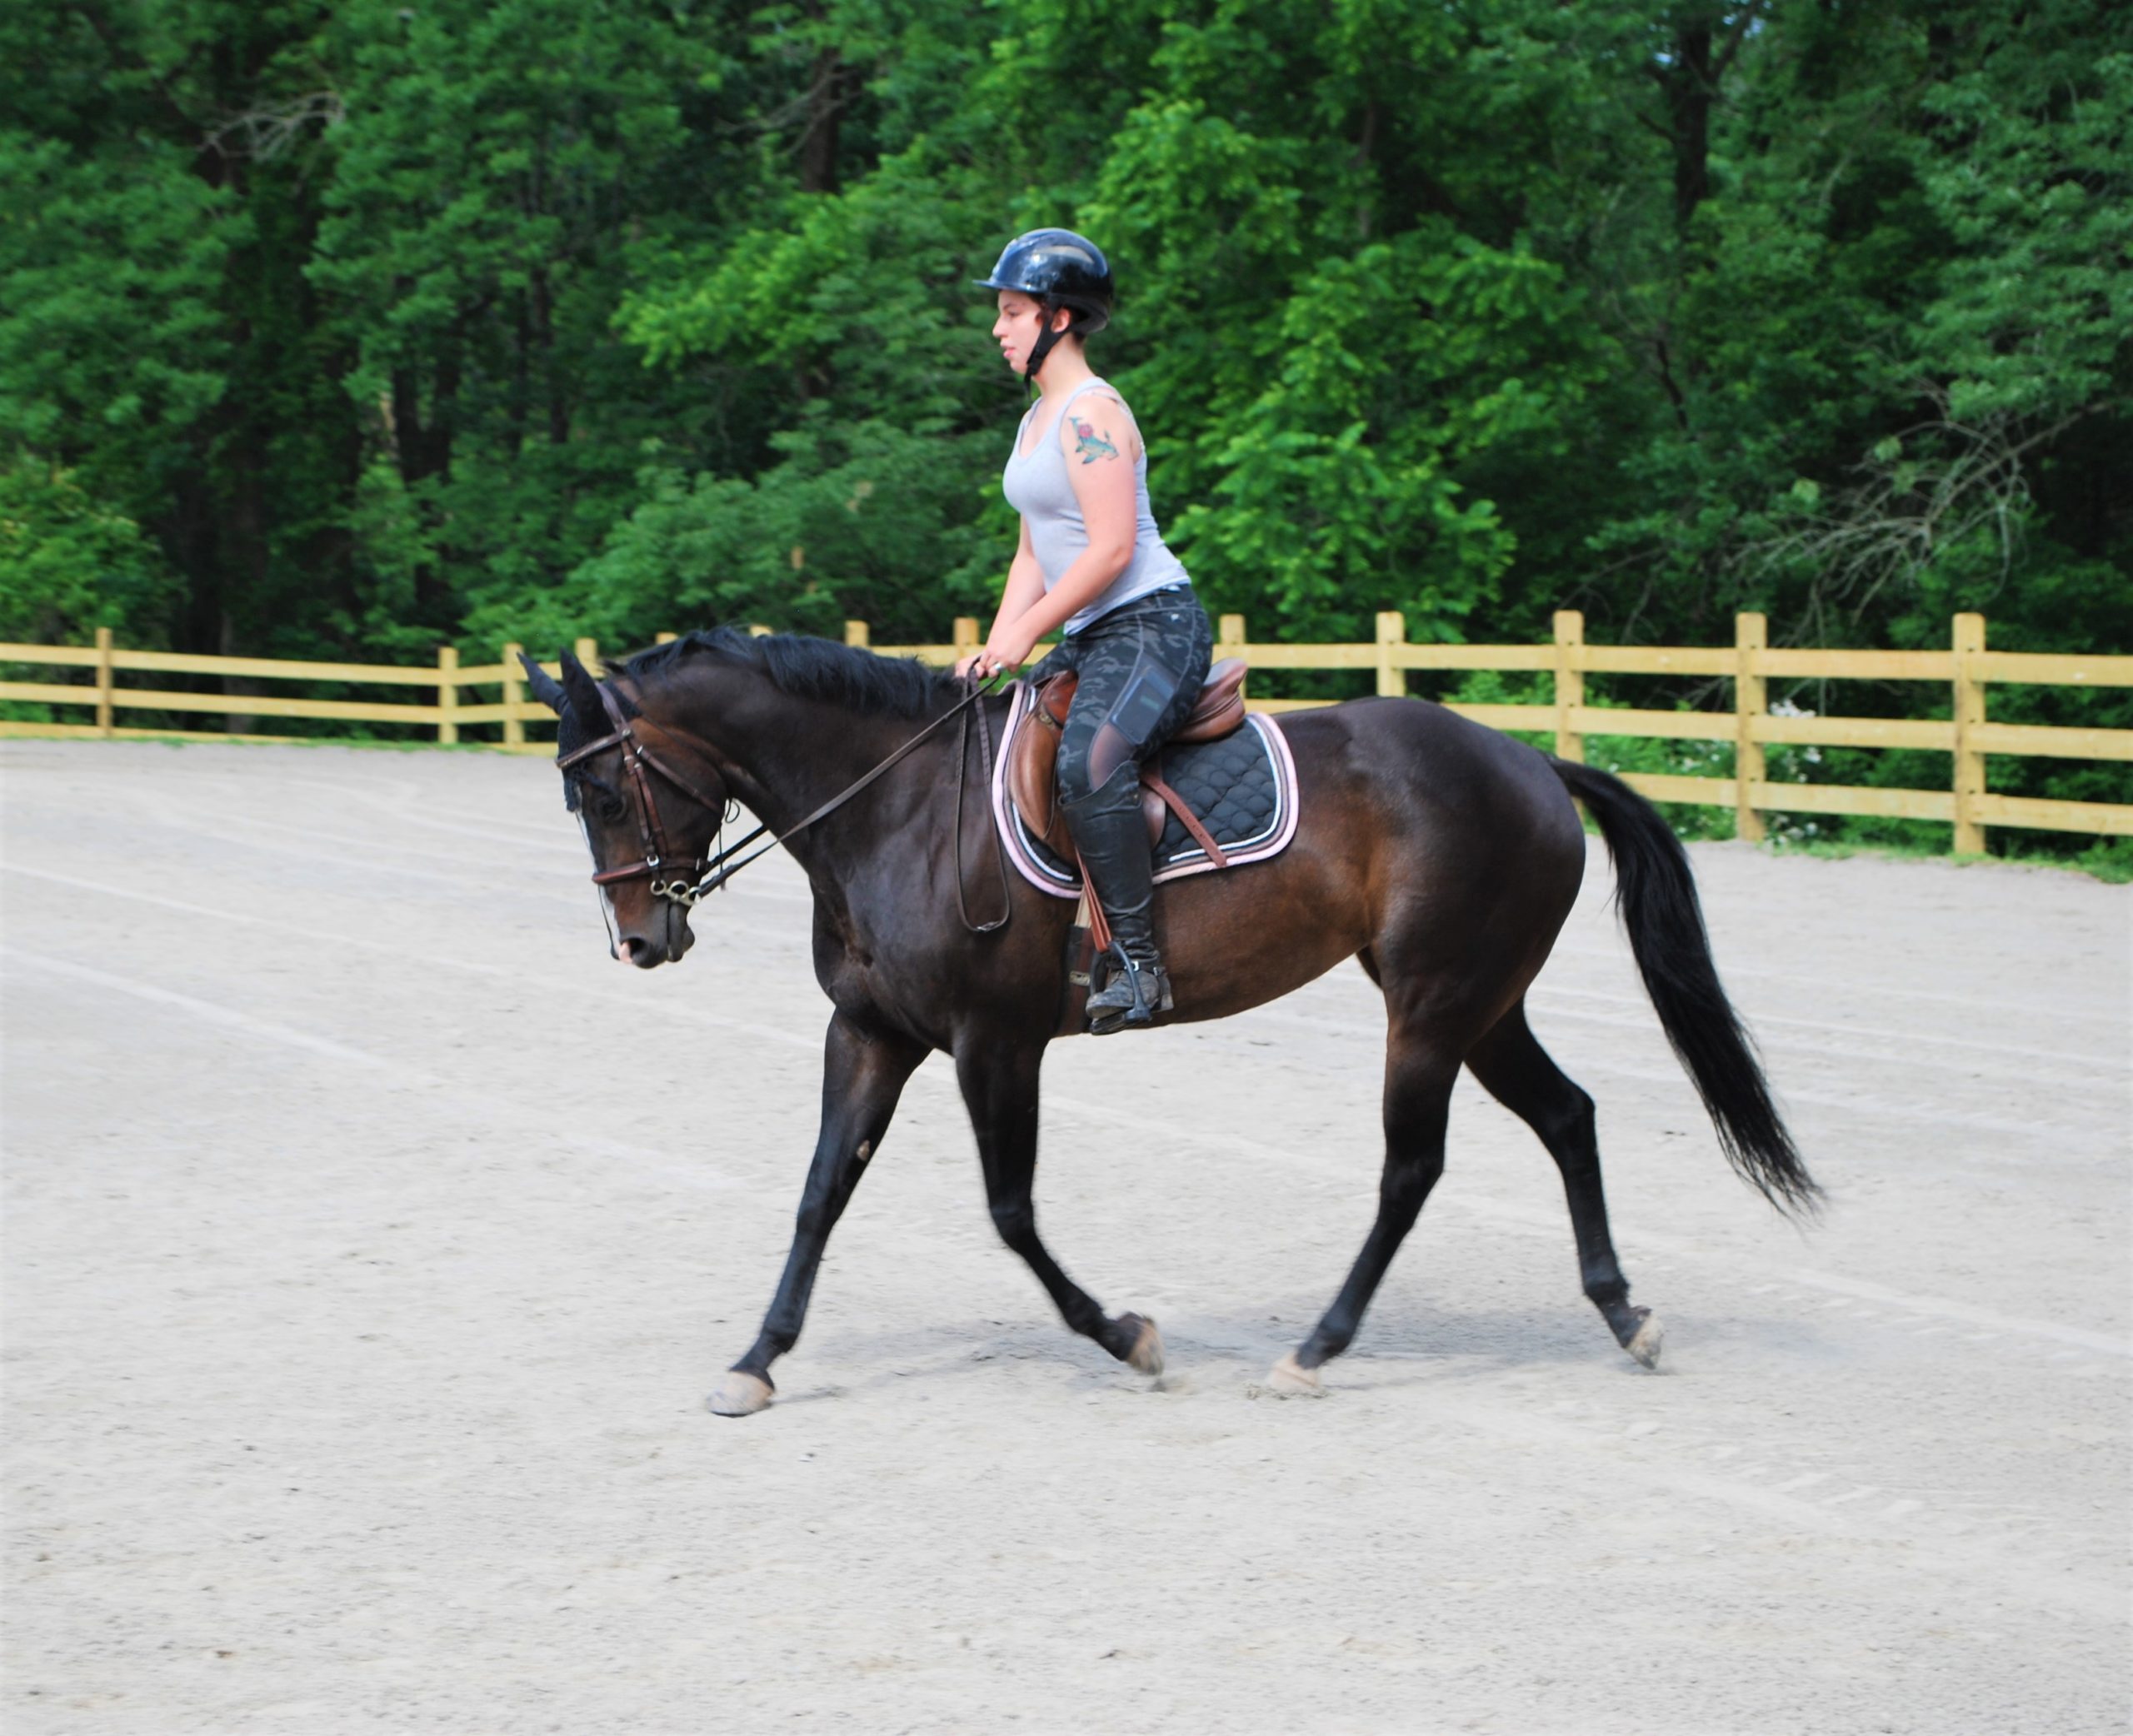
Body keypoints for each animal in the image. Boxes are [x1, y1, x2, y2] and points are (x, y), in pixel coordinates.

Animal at [524, 627, 1817, 1417]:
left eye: (604, 788)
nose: (638, 940)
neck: (894, 808)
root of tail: (1533, 764)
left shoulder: (995, 1044)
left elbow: (1010, 1212)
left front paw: (1126, 1336)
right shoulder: (872, 1037)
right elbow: (817, 1195)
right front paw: (756, 1361)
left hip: (1433, 1006)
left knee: (1414, 1166)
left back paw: (1314, 1350)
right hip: (1482, 1005)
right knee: (1568, 1116)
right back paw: (1623, 1312)